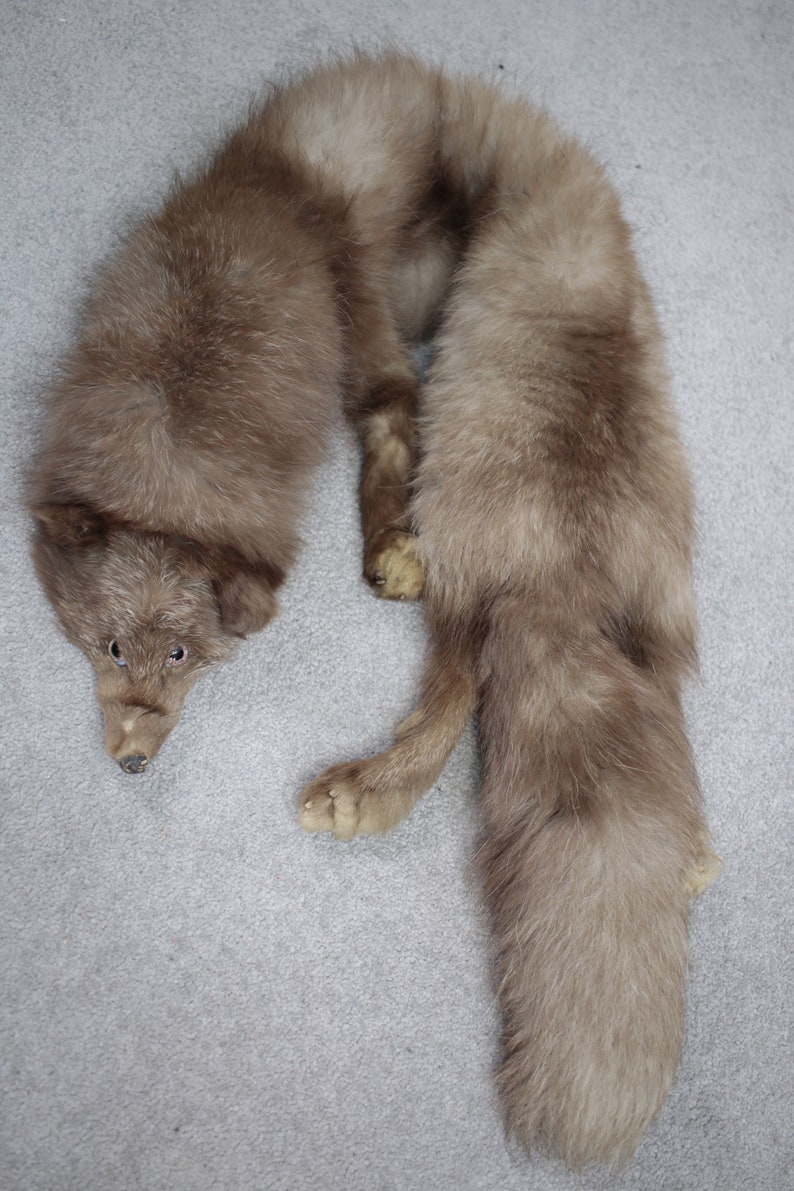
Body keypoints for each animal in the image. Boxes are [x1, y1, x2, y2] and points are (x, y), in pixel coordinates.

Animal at [30, 52, 718, 1165]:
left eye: (183, 660)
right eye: (108, 646)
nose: (131, 764)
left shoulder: (350, 283)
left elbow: (383, 400)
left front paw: (382, 538)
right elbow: (378, 397)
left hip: (469, 514)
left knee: (455, 682)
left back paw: (363, 786)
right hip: (652, 610)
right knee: (652, 714)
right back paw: (692, 855)